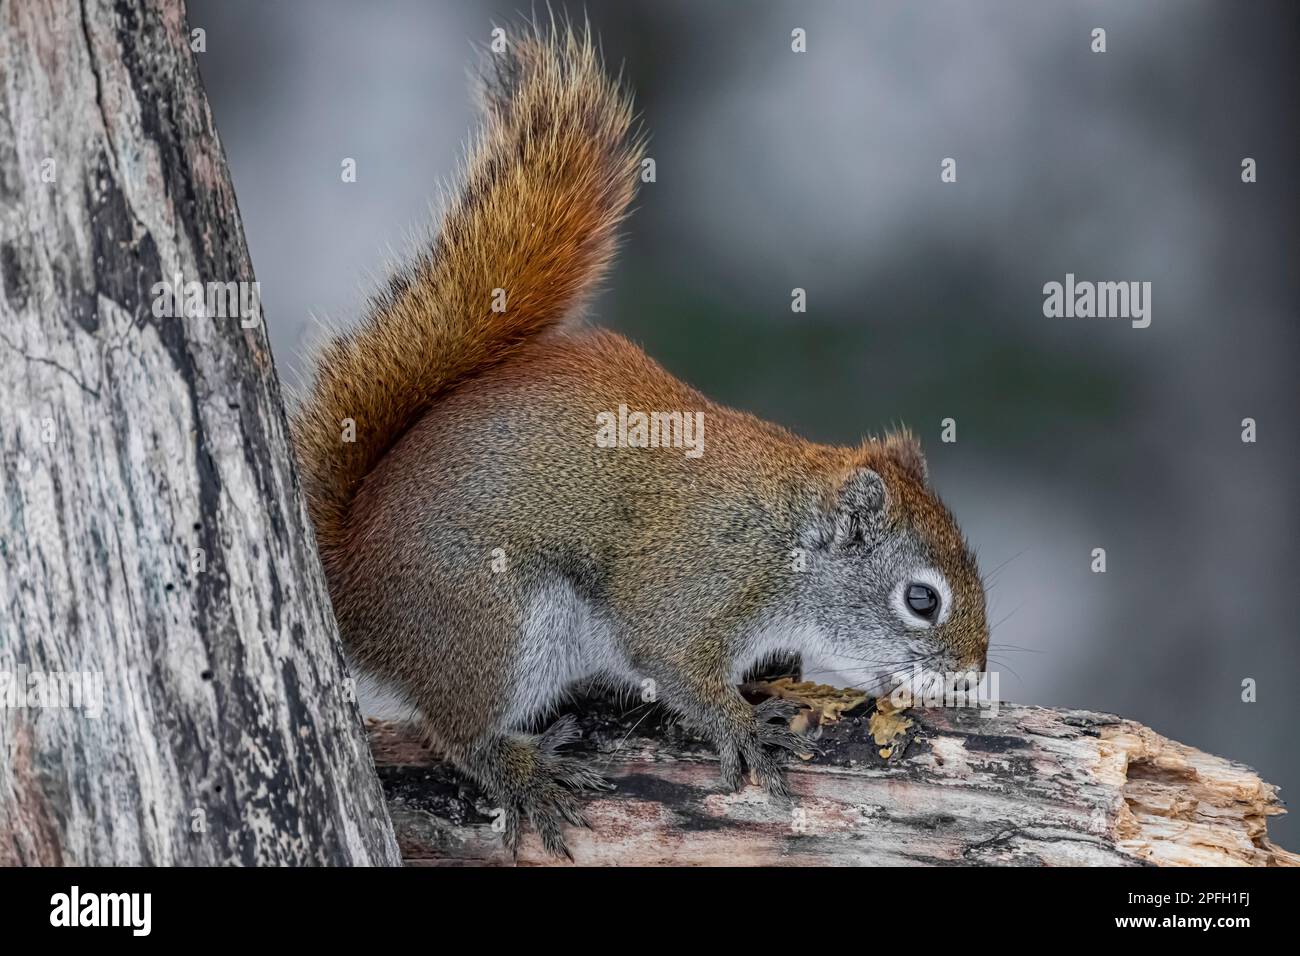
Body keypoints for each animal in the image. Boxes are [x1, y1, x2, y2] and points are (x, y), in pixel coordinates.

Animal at [290, 21, 988, 859]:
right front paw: (742, 726)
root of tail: (349, 588)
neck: (787, 539)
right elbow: (670, 657)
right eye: (922, 599)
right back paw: (522, 770)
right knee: (453, 731)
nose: (972, 674)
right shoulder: (693, 583)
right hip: (493, 622)